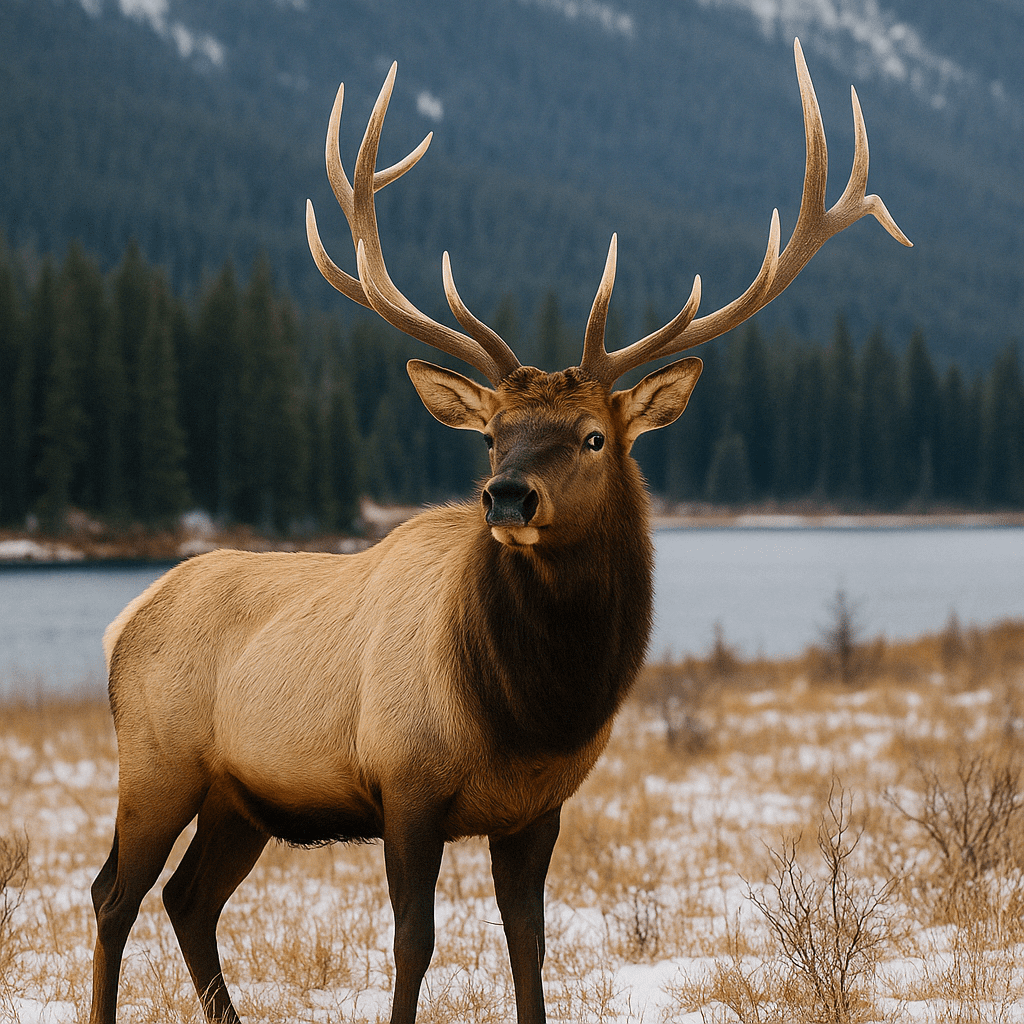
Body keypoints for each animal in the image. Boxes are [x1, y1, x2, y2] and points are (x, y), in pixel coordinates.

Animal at [88, 39, 910, 1024]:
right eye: (490, 434)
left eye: (595, 436)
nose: (507, 497)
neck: (527, 713)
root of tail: (123, 620)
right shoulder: (405, 786)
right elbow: (413, 943)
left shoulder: (538, 809)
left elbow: (531, 946)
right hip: (157, 762)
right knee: (114, 894)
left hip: (239, 796)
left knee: (188, 898)